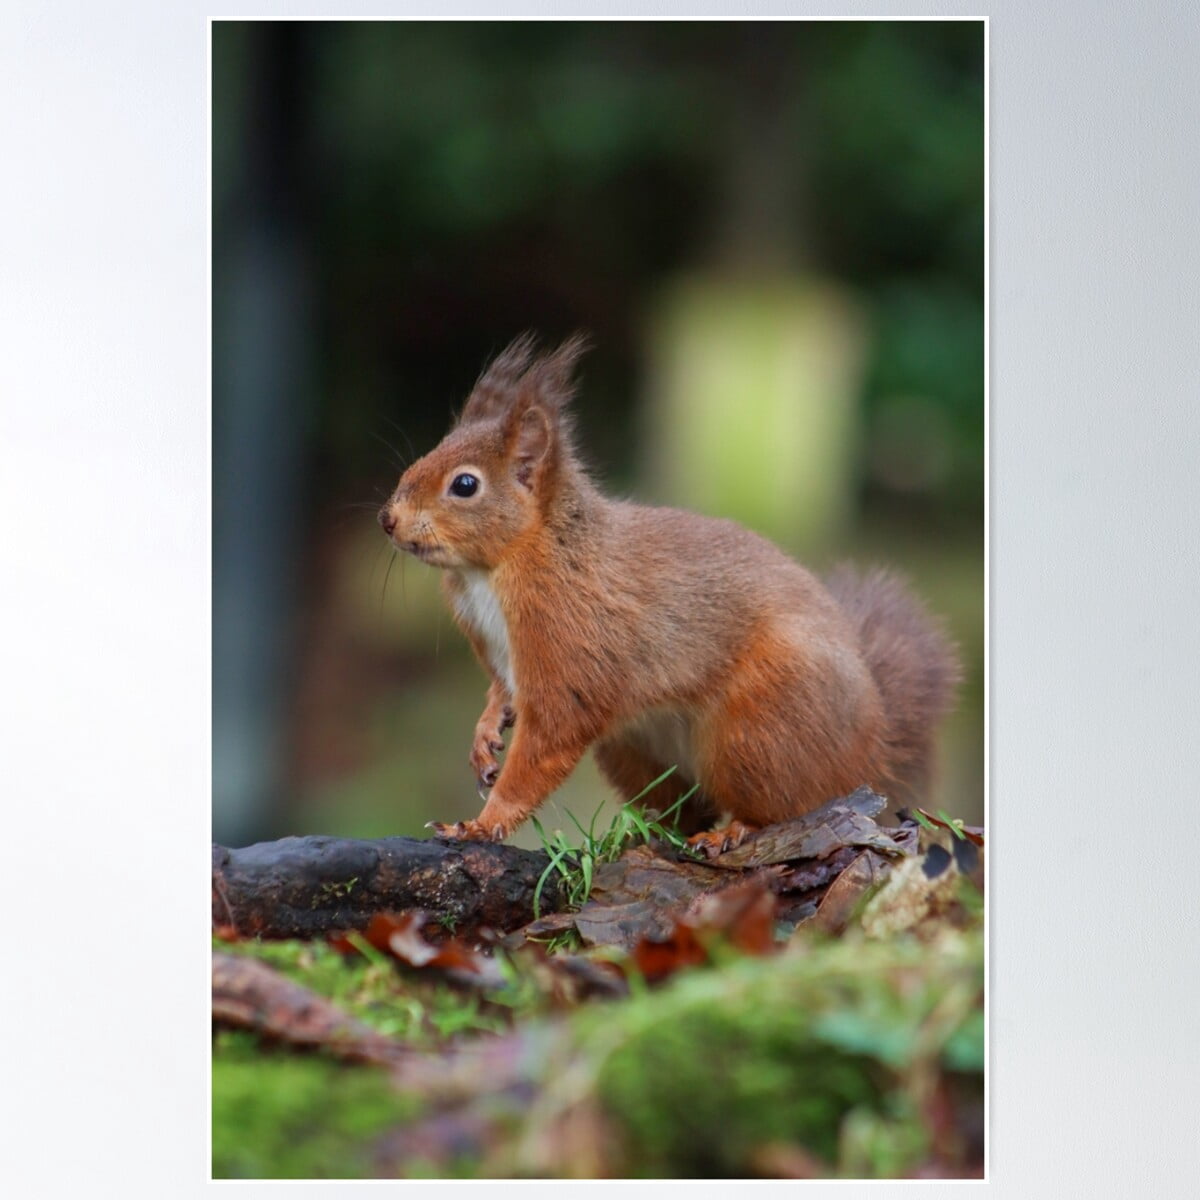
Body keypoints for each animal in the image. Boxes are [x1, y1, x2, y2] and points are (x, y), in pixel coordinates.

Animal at [378, 334, 962, 856]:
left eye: (465, 485)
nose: (388, 519)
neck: (495, 568)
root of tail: (869, 750)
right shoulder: (501, 652)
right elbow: (502, 691)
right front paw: (485, 735)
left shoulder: (571, 642)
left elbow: (548, 740)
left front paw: (481, 824)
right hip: (635, 752)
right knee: (685, 808)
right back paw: (641, 837)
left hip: (758, 729)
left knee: (780, 806)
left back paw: (732, 832)